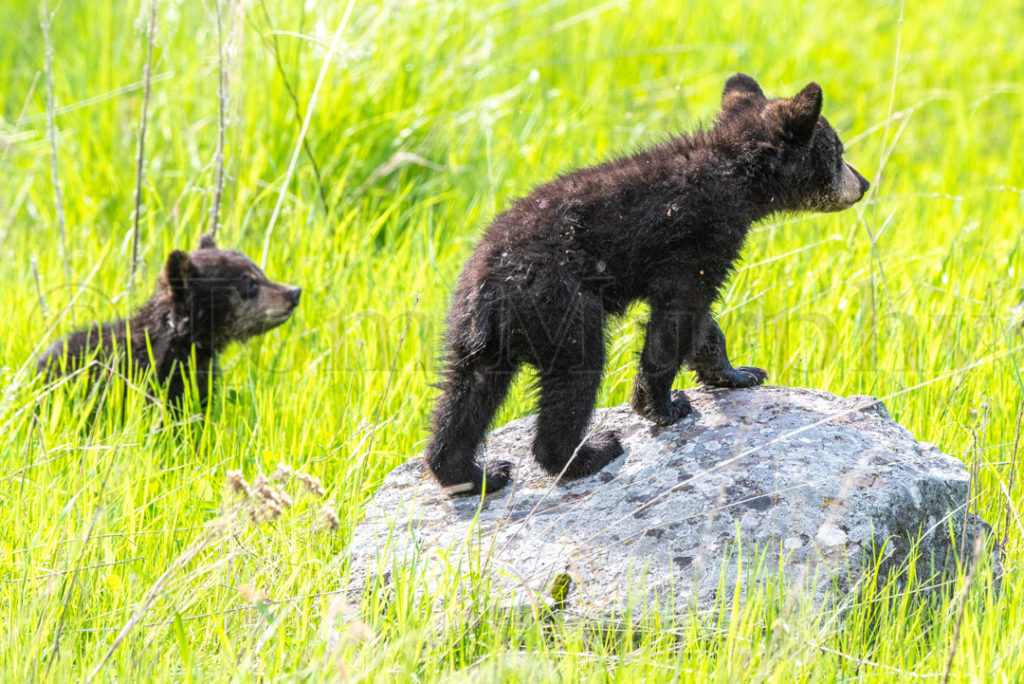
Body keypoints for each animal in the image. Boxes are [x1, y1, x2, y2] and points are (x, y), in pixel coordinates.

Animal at [425, 73, 870, 496]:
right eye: (839, 151)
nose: (864, 183)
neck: (735, 172)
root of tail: (489, 279)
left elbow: (701, 322)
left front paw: (739, 373)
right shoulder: (702, 236)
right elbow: (677, 316)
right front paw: (662, 405)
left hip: (480, 336)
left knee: (466, 392)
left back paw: (471, 474)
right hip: (559, 303)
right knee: (577, 371)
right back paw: (587, 453)